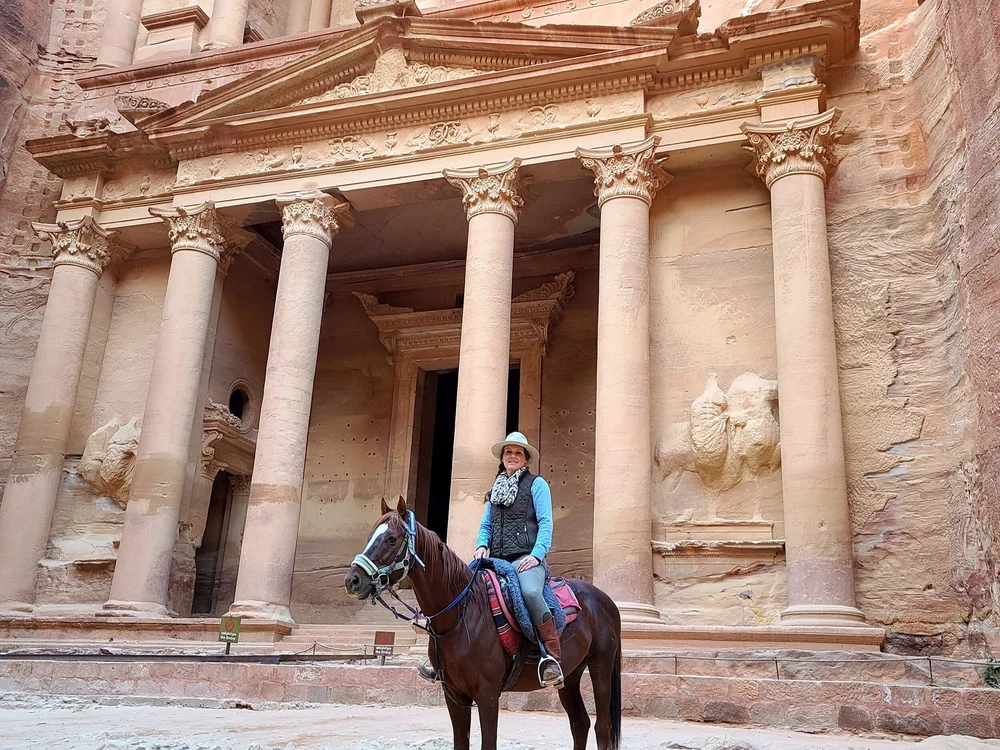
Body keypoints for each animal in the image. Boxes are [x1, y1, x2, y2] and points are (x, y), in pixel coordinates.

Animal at [344, 496, 623, 750]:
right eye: (369, 536)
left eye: (391, 538)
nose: (352, 580)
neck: (461, 616)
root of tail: (607, 600)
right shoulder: (454, 696)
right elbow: (461, 742)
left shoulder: (487, 695)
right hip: (571, 674)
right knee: (579, 723)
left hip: (600, 665)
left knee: (601, 727)